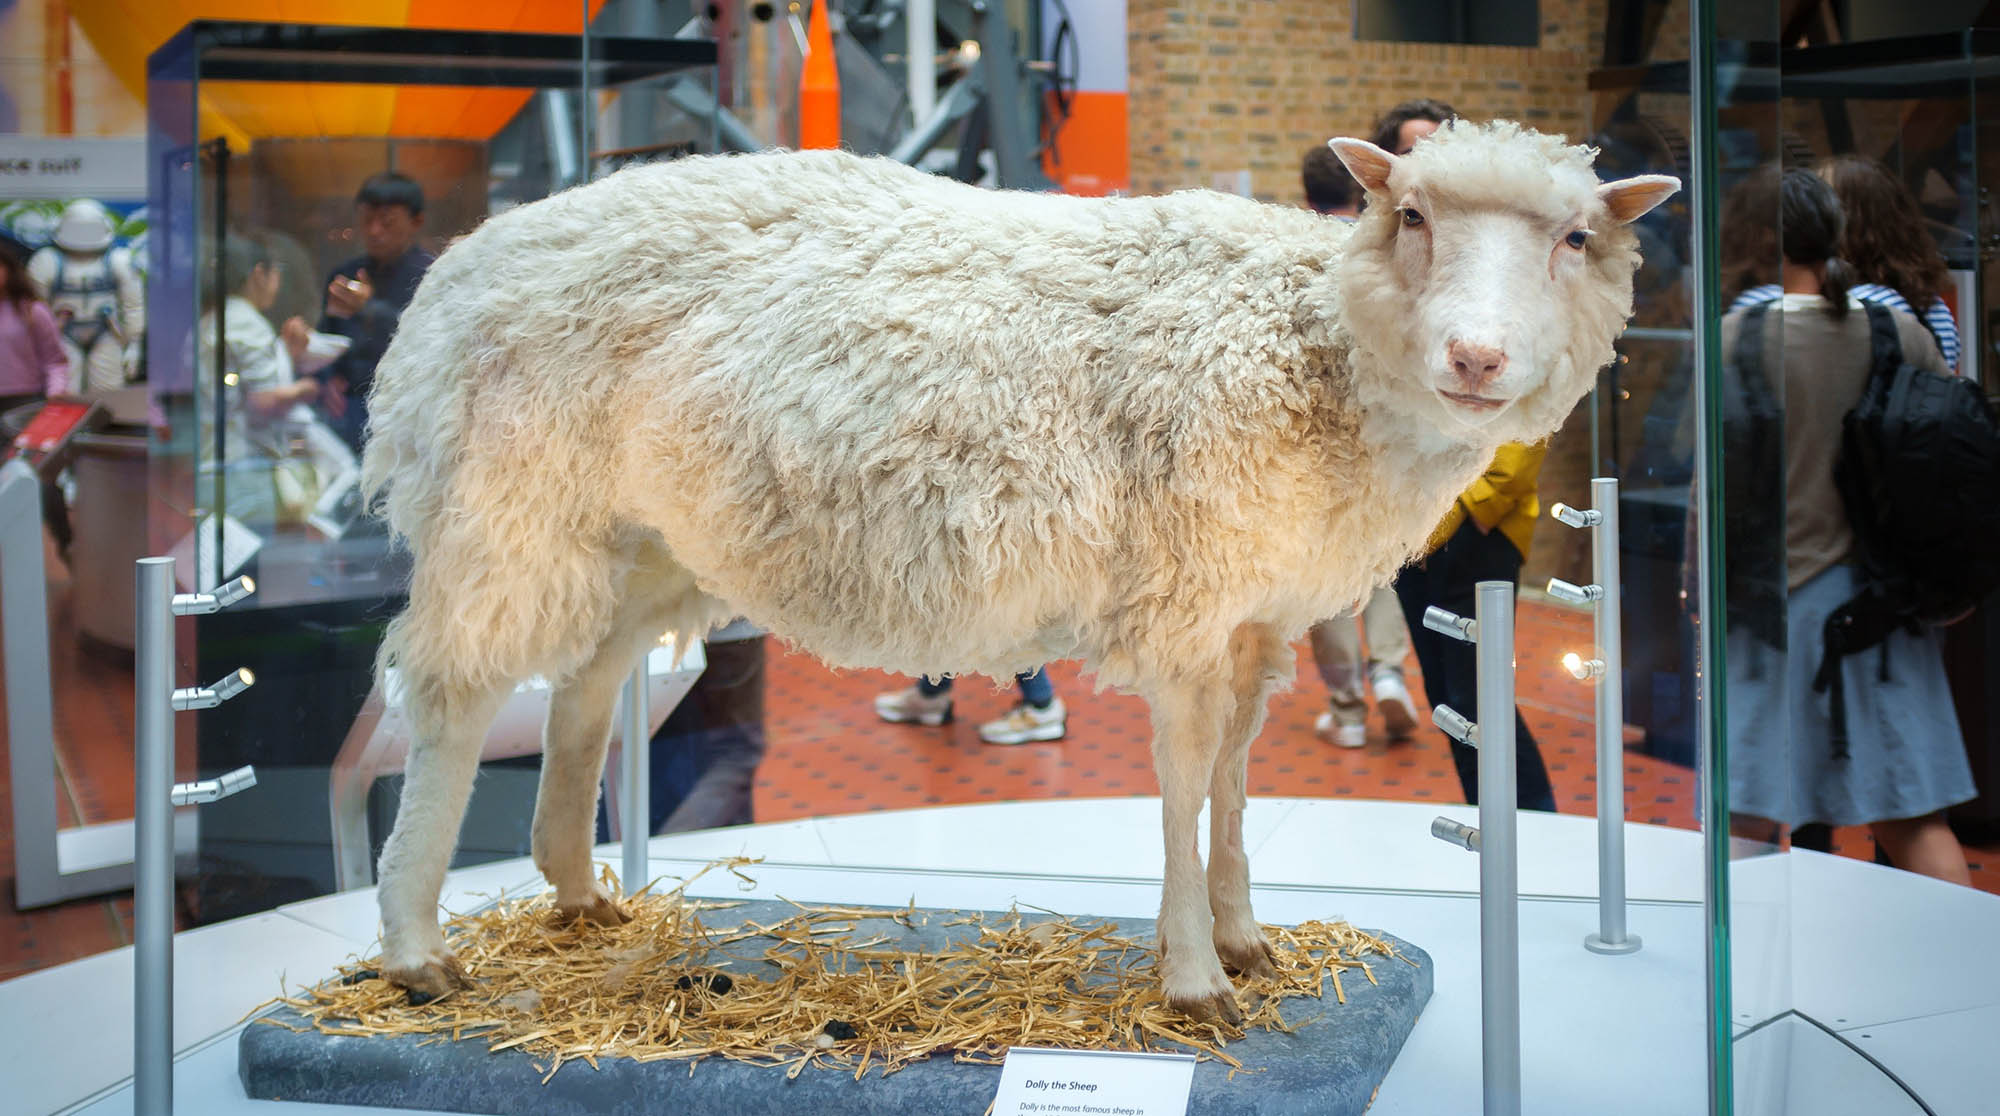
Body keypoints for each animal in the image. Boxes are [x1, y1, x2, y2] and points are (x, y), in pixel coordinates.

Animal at [360, 120, 1677, 1023]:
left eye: (1574, 239)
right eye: (1408, 216)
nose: (1475, 358)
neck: (1309, 345)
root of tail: (462, 262)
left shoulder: (1256, 615)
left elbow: (1237, 777)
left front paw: (1243, 936)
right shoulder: (1187, 597)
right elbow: (1185, 778)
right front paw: (1192, 976)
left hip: (634, 538)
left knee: (584, 689)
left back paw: (577, 894)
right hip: (506, 507)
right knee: (457, 704)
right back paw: (417, 950)